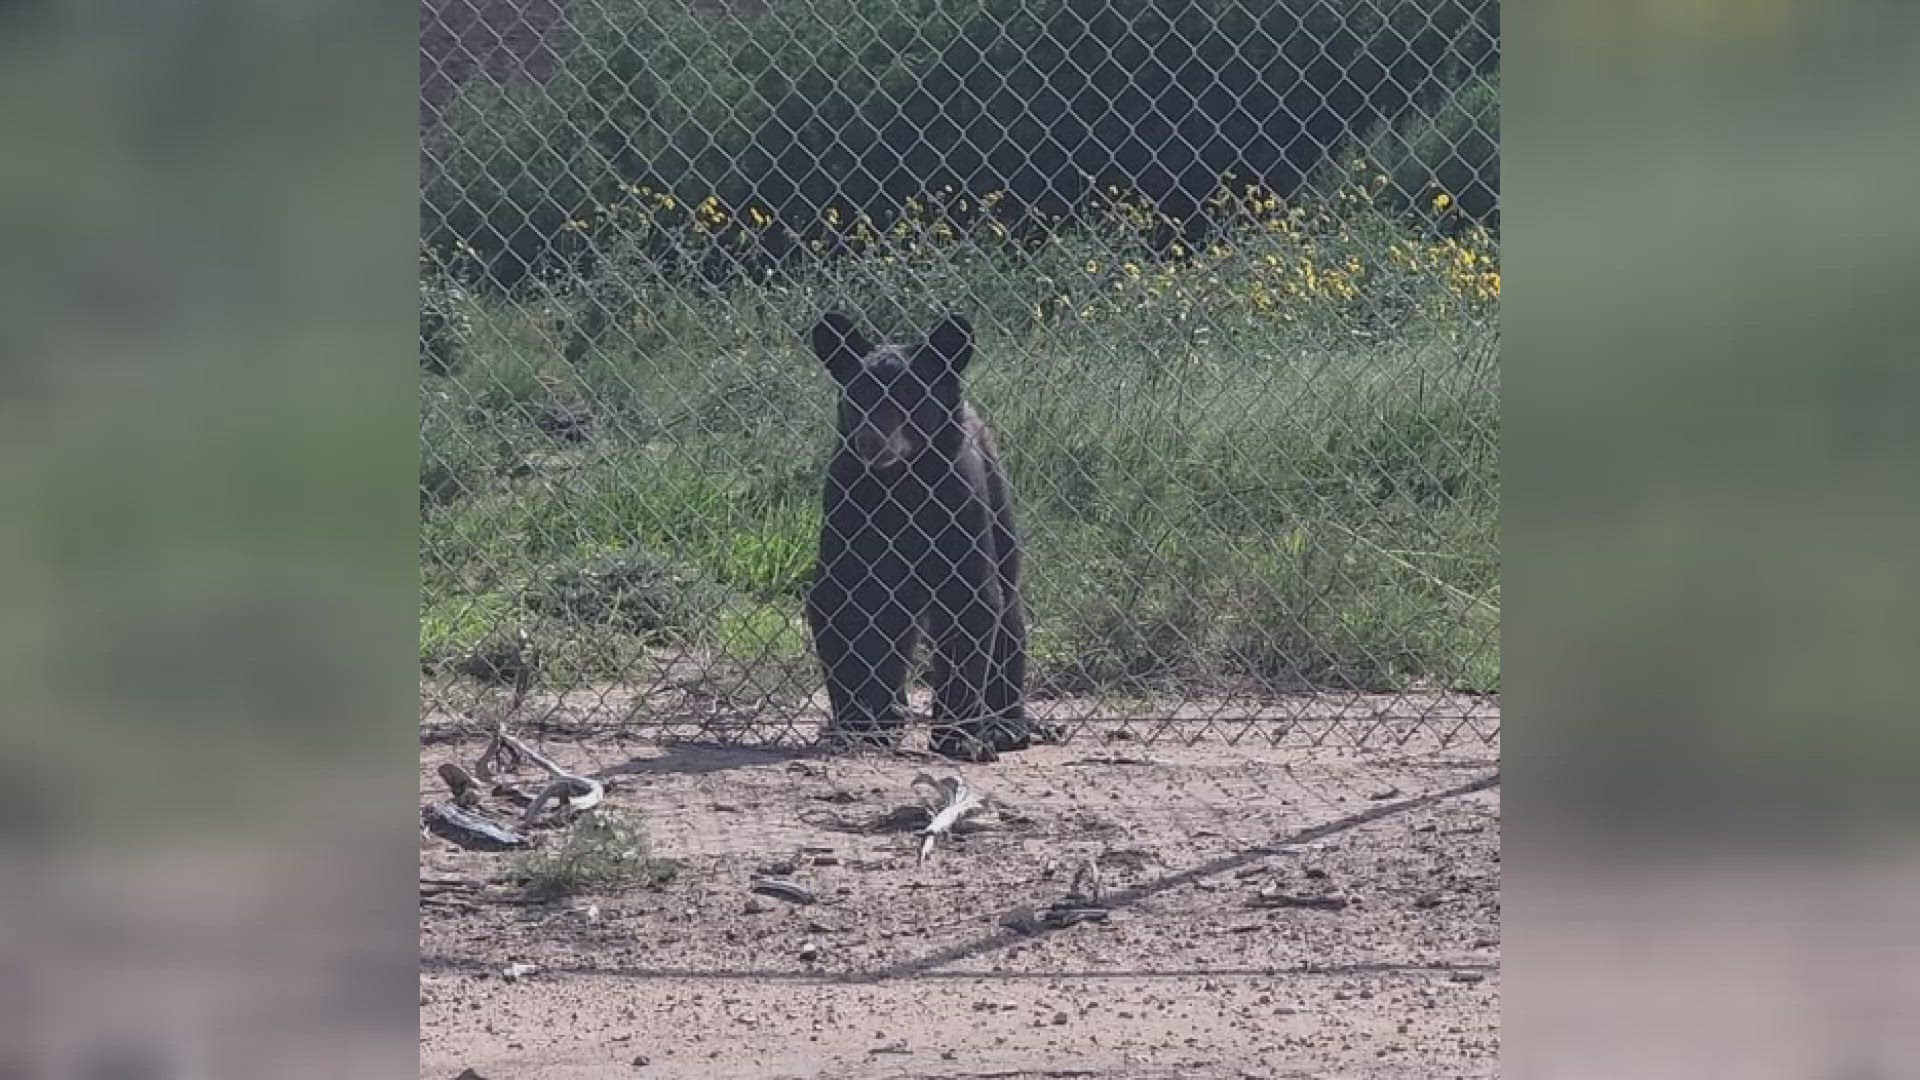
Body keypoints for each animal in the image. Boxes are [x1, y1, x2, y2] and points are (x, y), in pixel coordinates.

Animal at [804, 312, 1032, 762]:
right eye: (857, 395)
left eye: (908, 395)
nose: (871, 438)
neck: (902, 482)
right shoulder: (845, 503)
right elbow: (840, 602)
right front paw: (860, 725)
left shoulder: (960, 499)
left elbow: (971, 602)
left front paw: (960, 738)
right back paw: (893, 711)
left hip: (1000, 510)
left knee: (1009, 613)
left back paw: (1007, 726)